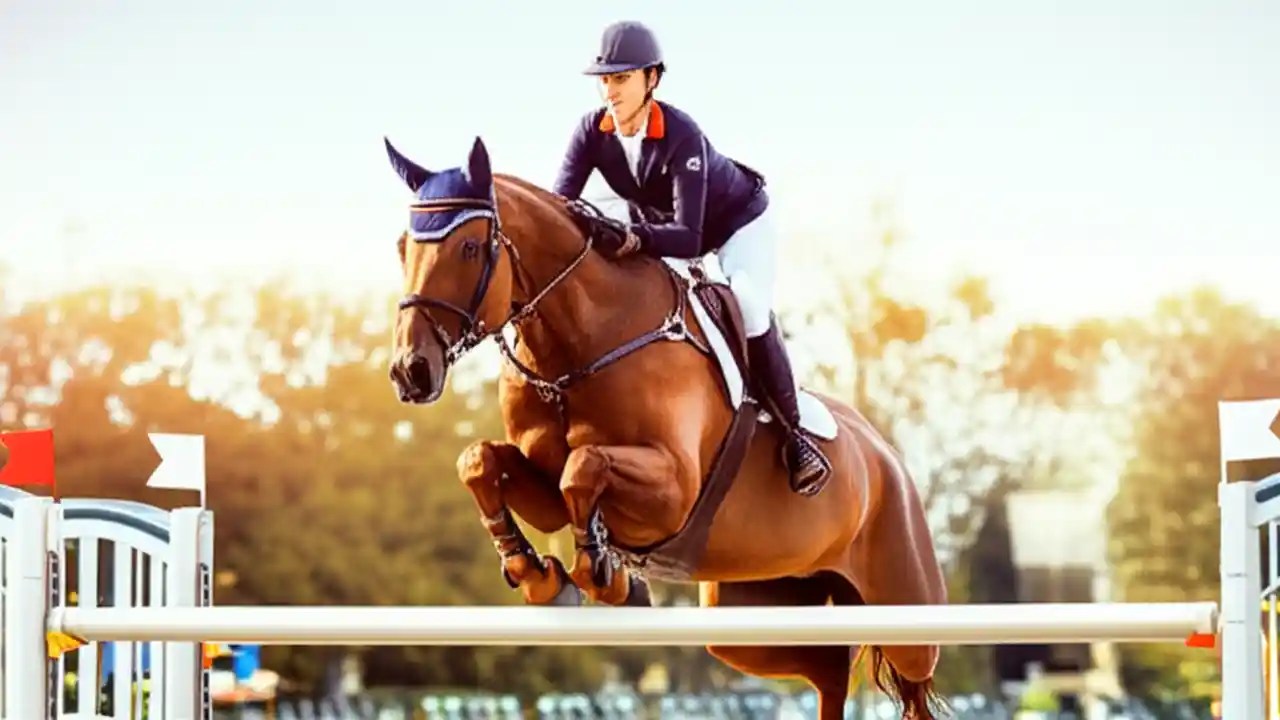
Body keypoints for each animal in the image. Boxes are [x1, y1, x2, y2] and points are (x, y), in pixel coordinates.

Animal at [383, 135, 950, 719]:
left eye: (470, 248)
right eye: (403, 247)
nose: (410, 371)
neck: (577, 345)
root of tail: (886, 454)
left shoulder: (673, 488)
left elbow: (584, 466)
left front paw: (606, 575)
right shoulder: (545, 489)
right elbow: (480, 461)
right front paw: (536, 573)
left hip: (907, 612)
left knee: (909, 679)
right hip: (754, 621)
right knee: (829, 671)